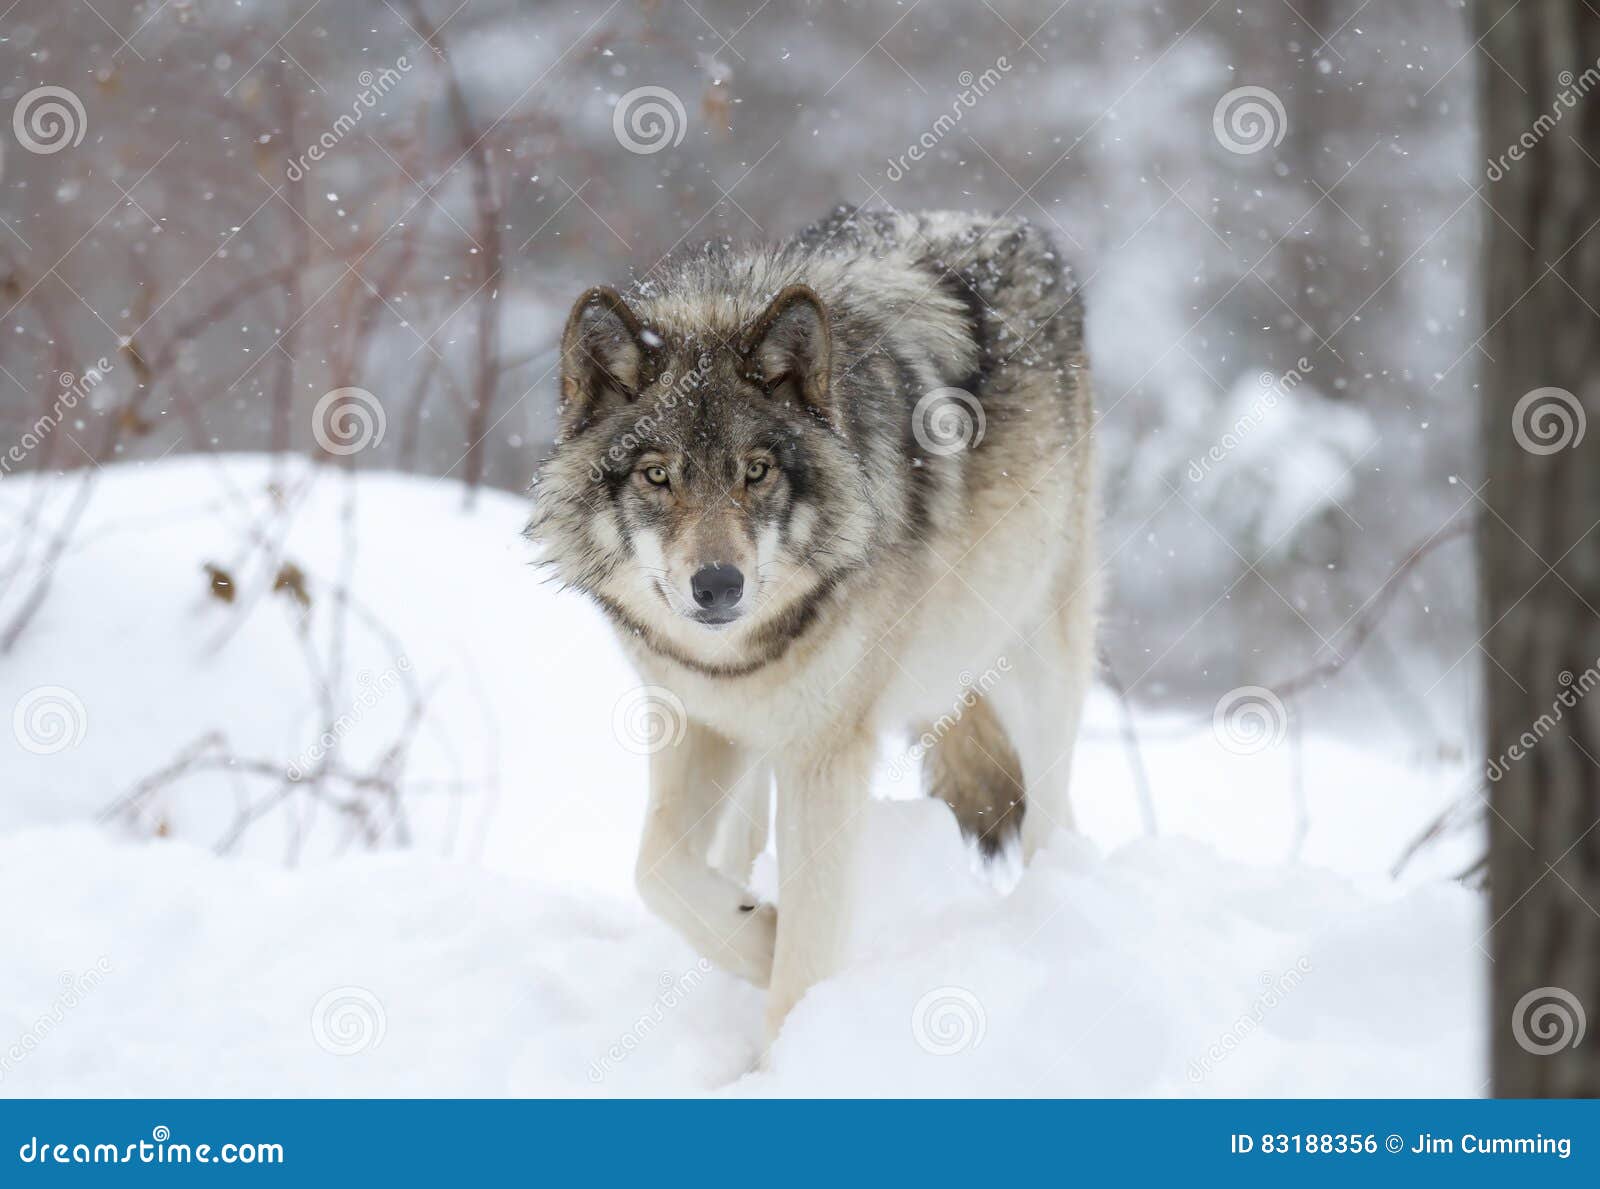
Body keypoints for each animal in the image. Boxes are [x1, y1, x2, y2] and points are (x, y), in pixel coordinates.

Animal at [530, 207, 1096, 1043]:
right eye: (657, 475)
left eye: (756, 471)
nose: (718, 584)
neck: (736, 657)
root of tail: (1007, 222)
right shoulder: (695, 714)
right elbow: (656, 866)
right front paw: (754, 932)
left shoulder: (825, 755)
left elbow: (803, 954)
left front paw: (783, 1043)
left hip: (1031, 657)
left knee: (1053, 813)